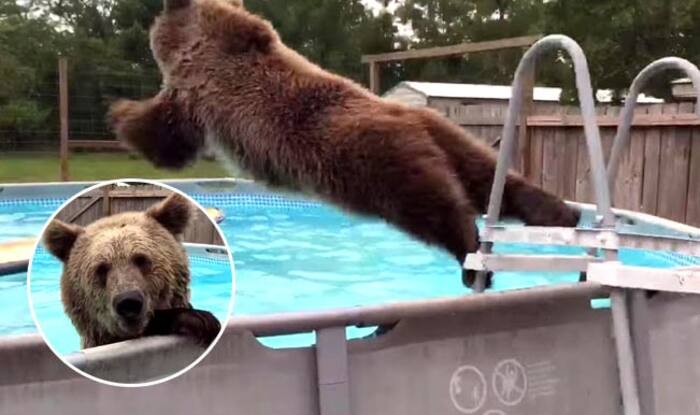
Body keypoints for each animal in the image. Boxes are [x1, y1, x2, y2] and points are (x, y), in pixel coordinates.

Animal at [108, 0, 581, 289]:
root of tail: (411, 117)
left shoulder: (197, 90)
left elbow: (166, 134)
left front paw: (120, 115)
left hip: (372, 161)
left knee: (435, 206)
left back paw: (472, 261)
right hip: (451, 137)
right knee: (489, 177)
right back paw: (559, 212)